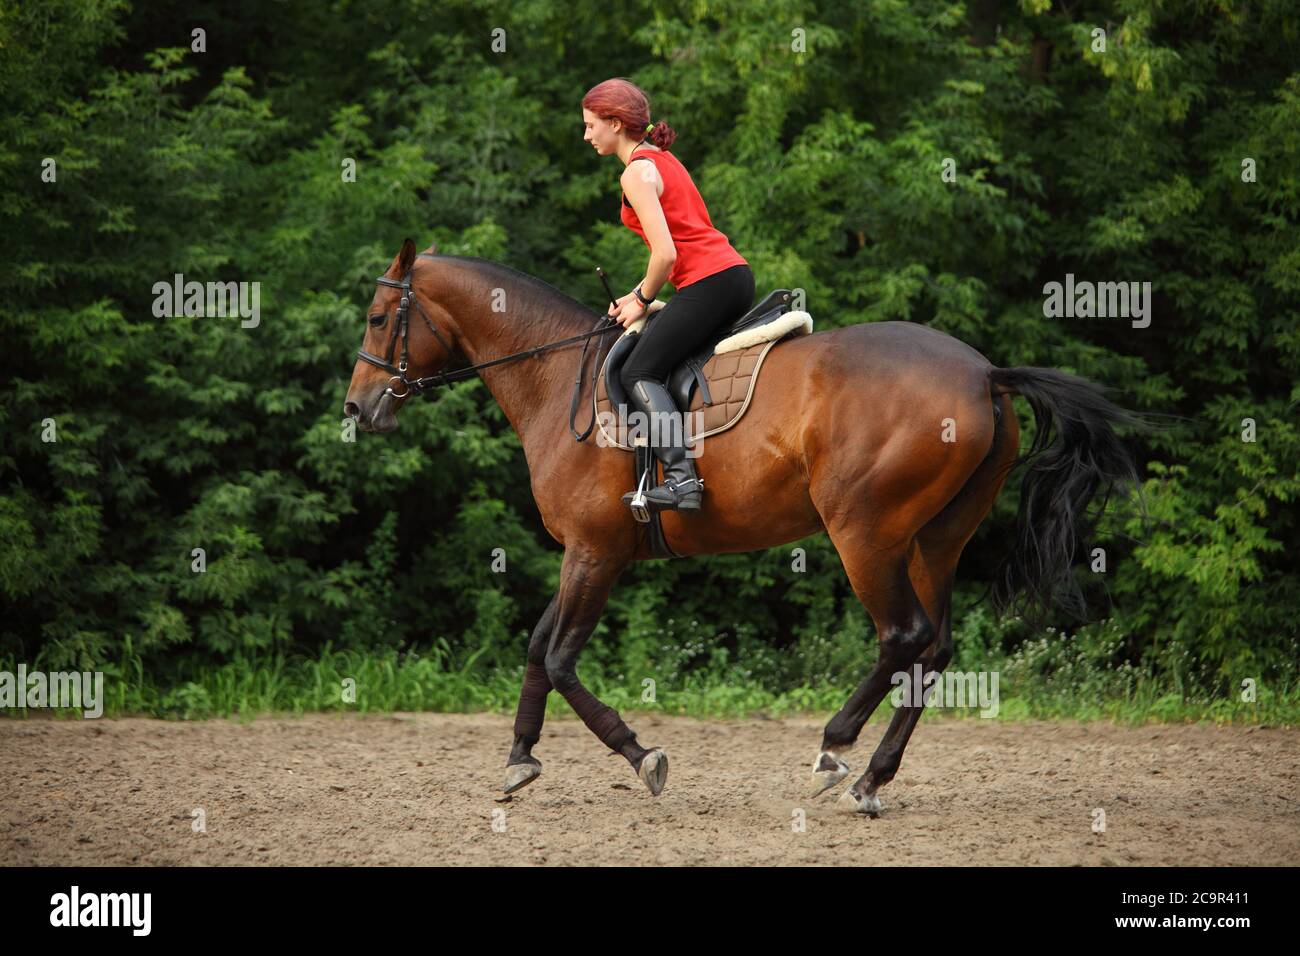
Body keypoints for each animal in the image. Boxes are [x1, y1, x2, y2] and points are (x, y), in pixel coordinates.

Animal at [343, 238, 1141, 814]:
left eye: (380, 319)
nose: (357, 409)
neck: (554, 375)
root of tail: (984, 374)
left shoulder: (594, 552)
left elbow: (563, 658)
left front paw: (642, 756)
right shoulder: (588, 552)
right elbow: (540, 648)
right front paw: (519, 760)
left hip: (864, 533)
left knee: (904, 636)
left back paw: (834, 753)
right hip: (935, 540)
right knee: (935, 648)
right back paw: (872, 780)